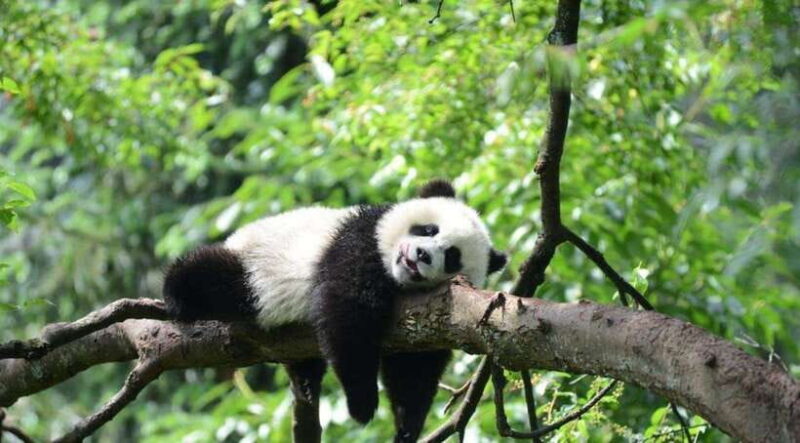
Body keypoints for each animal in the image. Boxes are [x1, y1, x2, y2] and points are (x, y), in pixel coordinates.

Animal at [162, 180, 507, 442]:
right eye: (428, 230)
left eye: (452, 256)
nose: (420, 255)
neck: (398, 281)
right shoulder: (361, 241)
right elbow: (347, 311)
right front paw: (362, 404)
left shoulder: (435, 316)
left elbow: (415, 368)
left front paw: (407, 426)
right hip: (254, 266)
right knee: (216, 276)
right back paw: (178, 292)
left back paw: (305, 379)